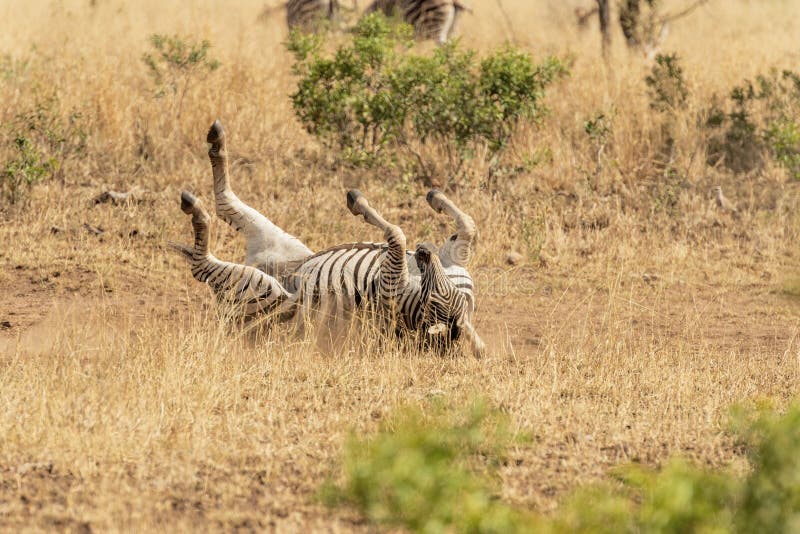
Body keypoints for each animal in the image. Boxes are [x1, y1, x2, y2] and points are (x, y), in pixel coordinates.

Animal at [171, 120, 486, 357]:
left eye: (434, 300)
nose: (423, 252)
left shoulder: (389, 285)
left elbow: (398, 234)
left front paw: (364, 205)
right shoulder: (452, 256)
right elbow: (467, 225)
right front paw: (431, 196)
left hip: (264, 291)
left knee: (202, 261)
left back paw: (195, 208)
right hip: (280, 244)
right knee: (225, 202)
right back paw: (216, 143)